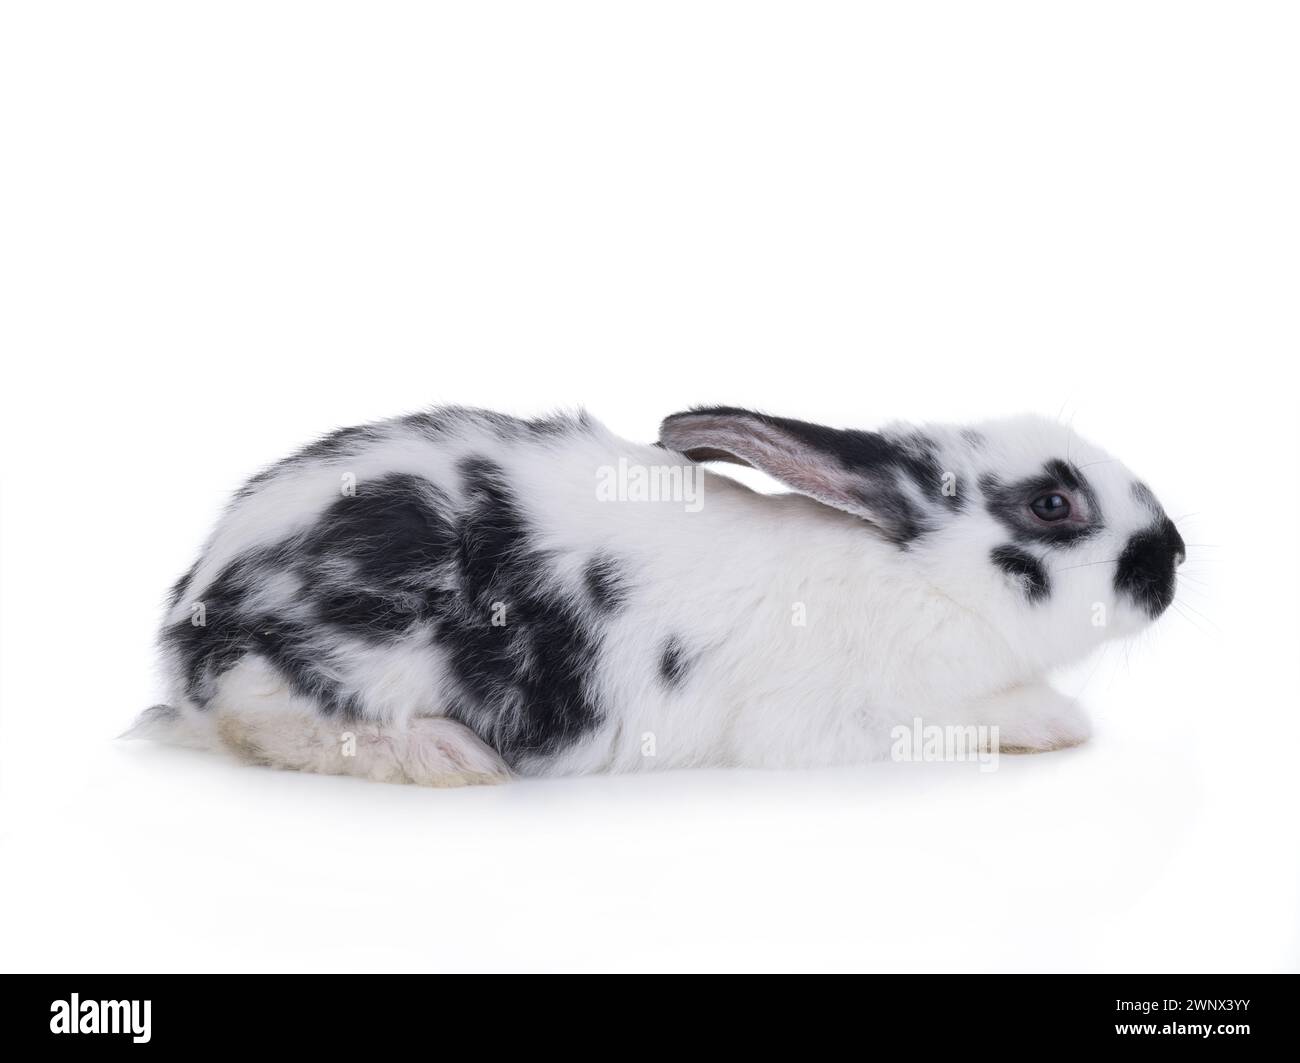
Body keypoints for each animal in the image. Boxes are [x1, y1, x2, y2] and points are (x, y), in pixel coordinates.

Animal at [126, 404, 1184, 786]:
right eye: (1053, 504)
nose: (1171, 559)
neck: (918, 576)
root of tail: (189, 619)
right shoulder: (846, 720)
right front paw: (1058, 722)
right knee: (269, 729)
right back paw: (448, 757)